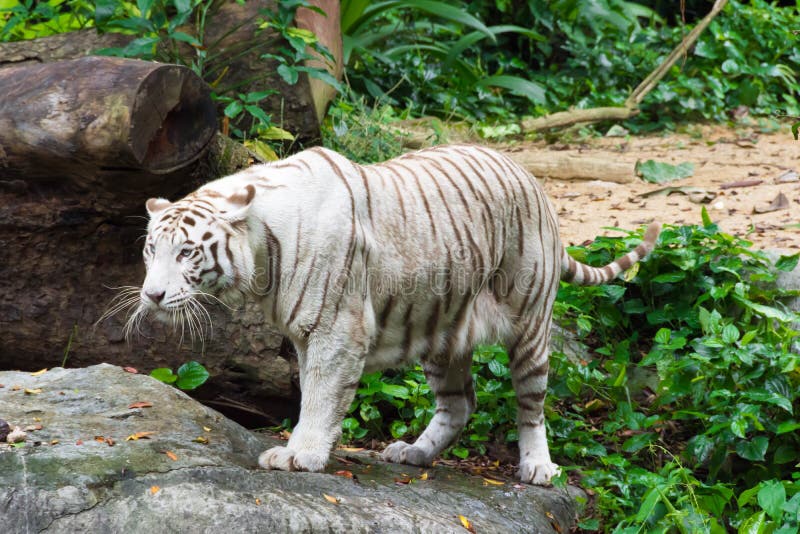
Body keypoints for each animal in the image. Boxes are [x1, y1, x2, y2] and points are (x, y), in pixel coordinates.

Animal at [128, 144, 660, 485]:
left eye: (186, 253)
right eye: (151, 250)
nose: (152, 295)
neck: (262, 257)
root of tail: (530, 176)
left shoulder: (335, 329)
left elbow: (321, 396)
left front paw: (301, 455)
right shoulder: (305, 333)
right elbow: (311, 393)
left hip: (529, 321)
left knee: (531, 405)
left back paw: (538, 468)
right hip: (441, 325)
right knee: (460, 403)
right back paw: (413, 452)